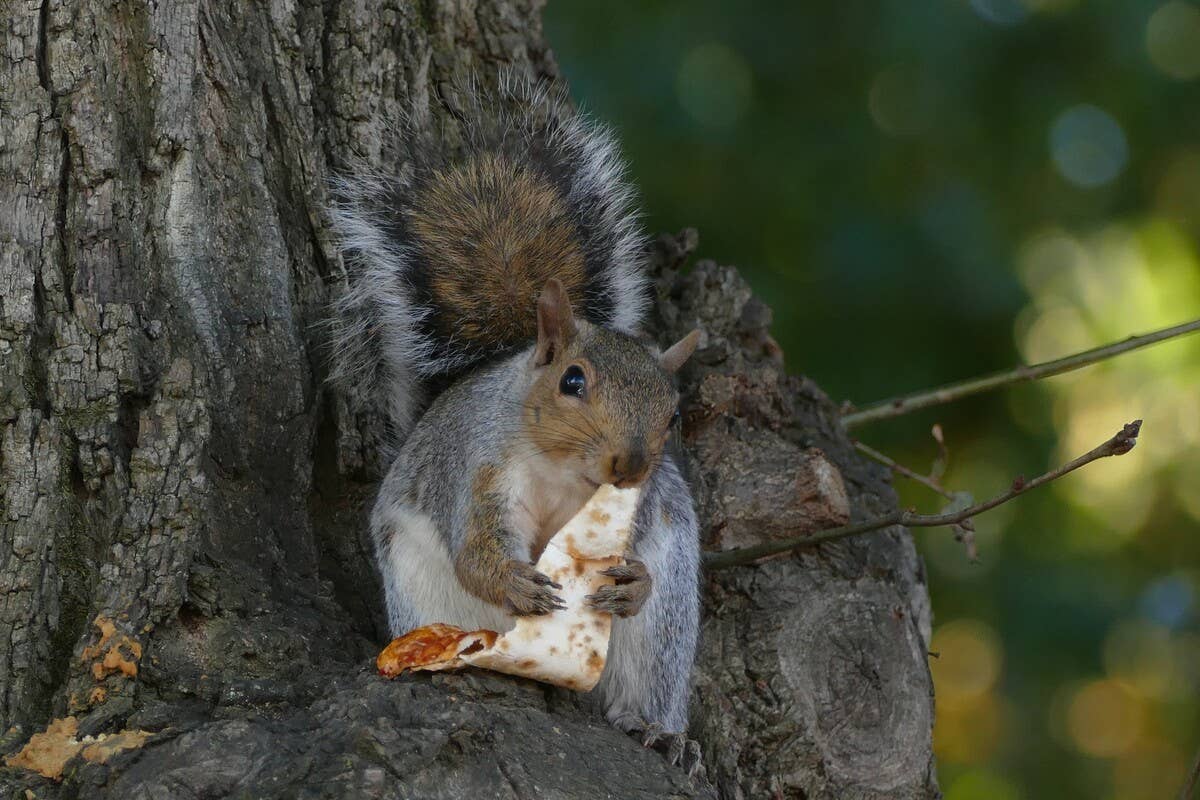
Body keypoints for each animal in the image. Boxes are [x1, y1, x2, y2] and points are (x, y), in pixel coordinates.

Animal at [327, 77, 702, 753]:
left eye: (673, 415)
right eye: (572, 381)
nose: (630, 465)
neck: (564, 476)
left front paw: (631, 582)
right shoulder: (474, 468)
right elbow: (475, 551)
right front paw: (513, 583)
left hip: (664, 630)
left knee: (652, 673)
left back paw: (657, 730)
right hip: (419, 591)